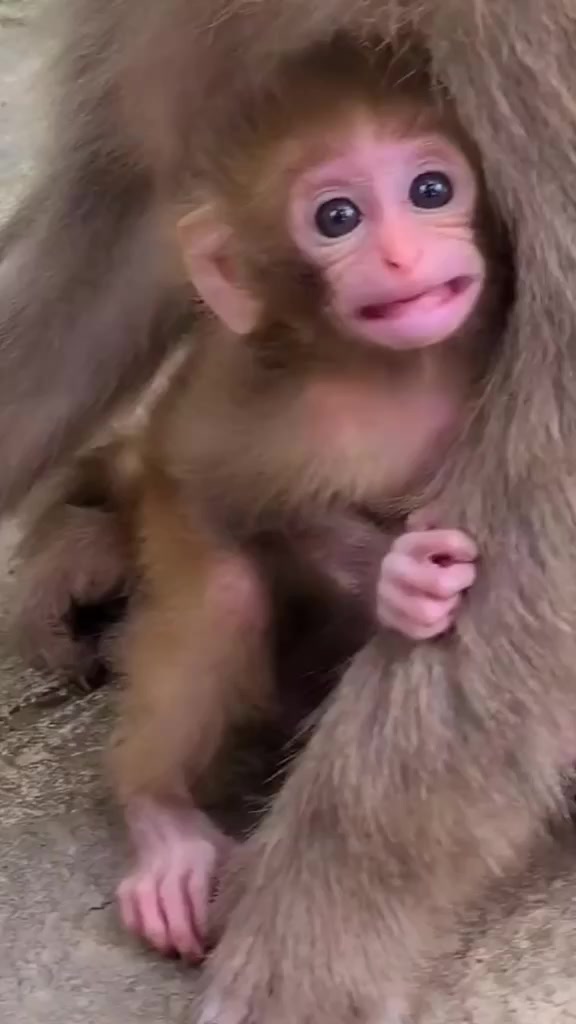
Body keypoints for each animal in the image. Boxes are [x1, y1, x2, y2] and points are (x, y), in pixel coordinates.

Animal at [108, 39, 509, 964]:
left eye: (430, 190)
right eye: (337, 218)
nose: (401, 257)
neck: (407, 374)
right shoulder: (283, 421)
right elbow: (232, 499)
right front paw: (404, 582)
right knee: (224, 590)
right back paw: (160, 818)